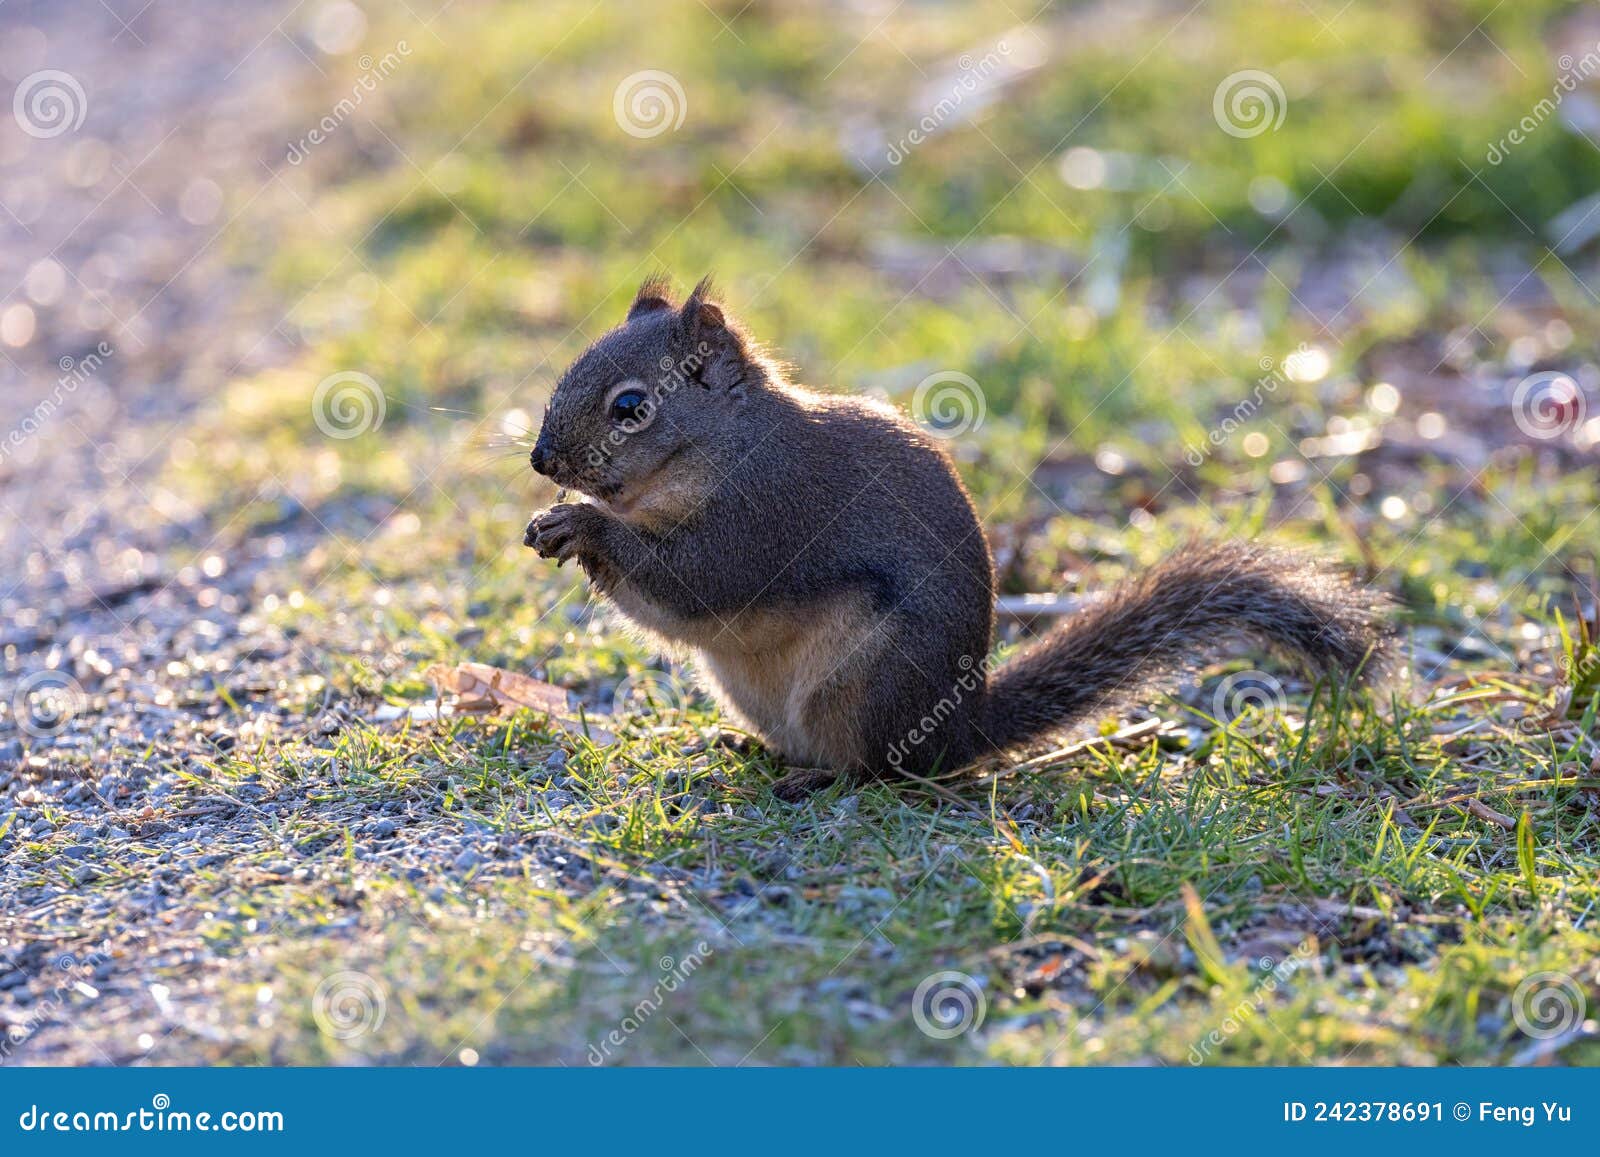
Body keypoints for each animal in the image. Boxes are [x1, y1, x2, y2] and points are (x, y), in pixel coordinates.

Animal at [524, 276, 1395, 800]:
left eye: (632, 407)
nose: (542, 461)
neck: (724, 445)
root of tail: (960, 725)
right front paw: (550, 522)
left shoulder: (769, 512)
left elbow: (697, 580)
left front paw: (583, 524)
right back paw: (754, 749)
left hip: (865, 683)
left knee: (876, 768)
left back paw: (821, 781)